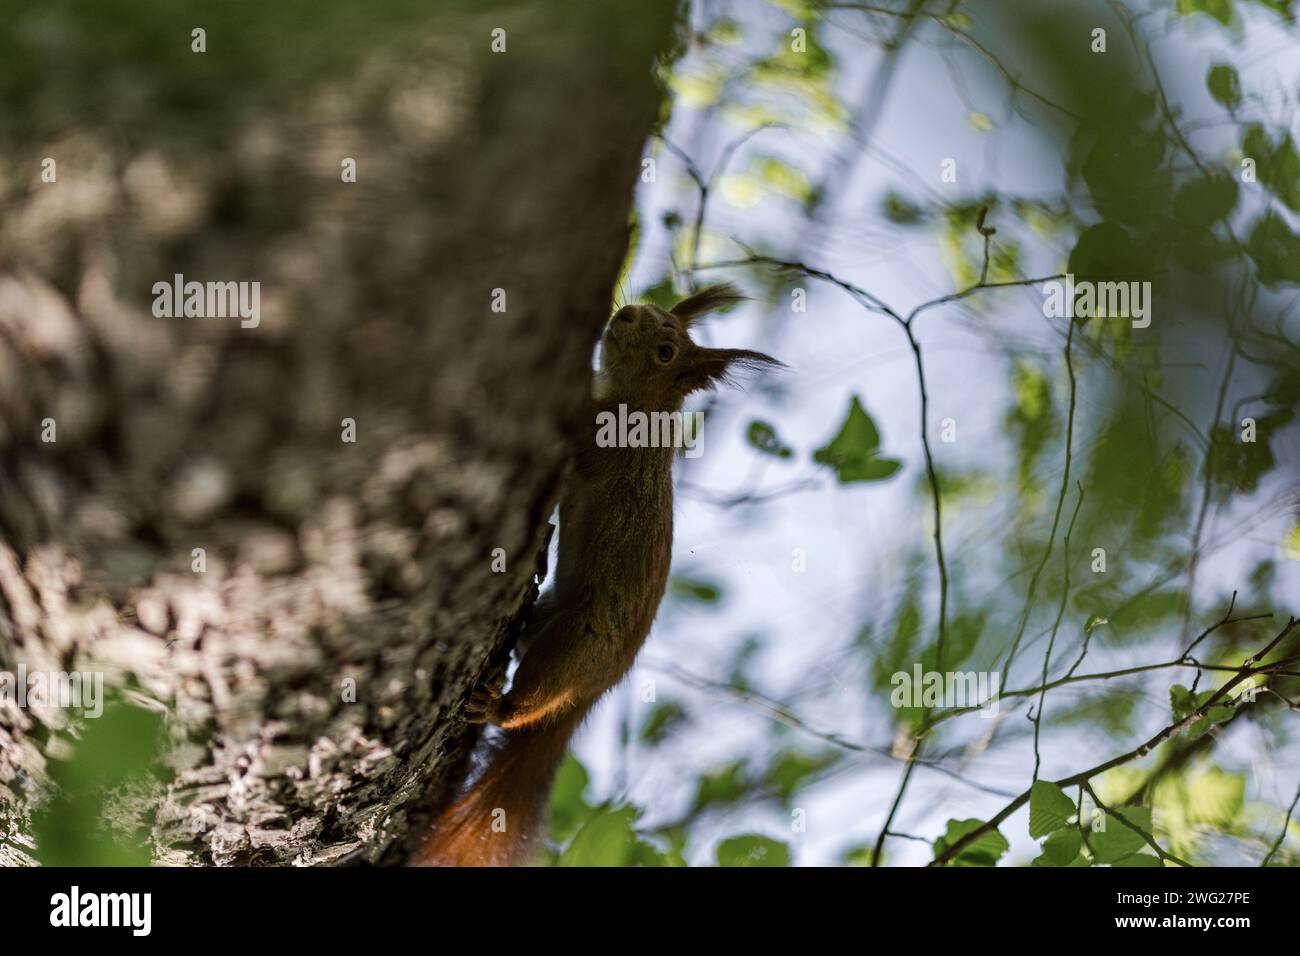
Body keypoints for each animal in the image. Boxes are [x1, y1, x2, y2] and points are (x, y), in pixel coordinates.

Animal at [411, 283, 781, 866]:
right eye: (655, 311)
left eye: (666, 352)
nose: (626, 312)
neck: (640, 407)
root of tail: (599, 687)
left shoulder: (599, 444)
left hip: (573, 647)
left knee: (531, 699)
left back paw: (498, 703)